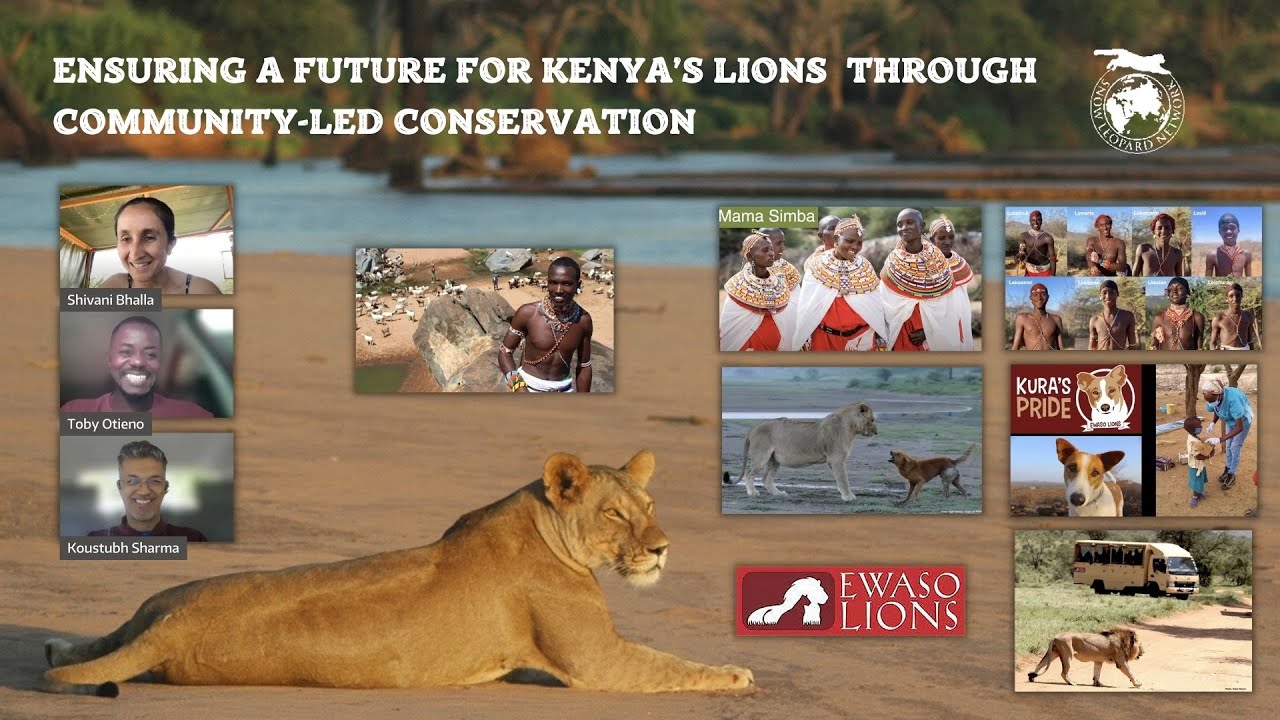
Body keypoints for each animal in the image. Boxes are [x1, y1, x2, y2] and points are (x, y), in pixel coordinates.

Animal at [40, 450, 754, 697]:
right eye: (613, 514)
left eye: (649, 507)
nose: (662, 549)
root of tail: (171, 622)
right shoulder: (598, 660)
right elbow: (671, 665)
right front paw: (737, 675)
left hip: (156, 602)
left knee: (103, 638)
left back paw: (58, 645)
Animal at [728, 402, 877, 501]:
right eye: (872, 419)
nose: (876, 432)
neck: (851, 428)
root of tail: (753, 428)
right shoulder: (837, 459)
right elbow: (843, 479)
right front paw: (848, 496)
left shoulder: (834, 461)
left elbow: (840, 479)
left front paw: (845, 495)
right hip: (761, 456)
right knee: (749, 473)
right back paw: (752, 493)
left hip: (774, 459)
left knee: (766, 479)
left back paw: (779, 494)